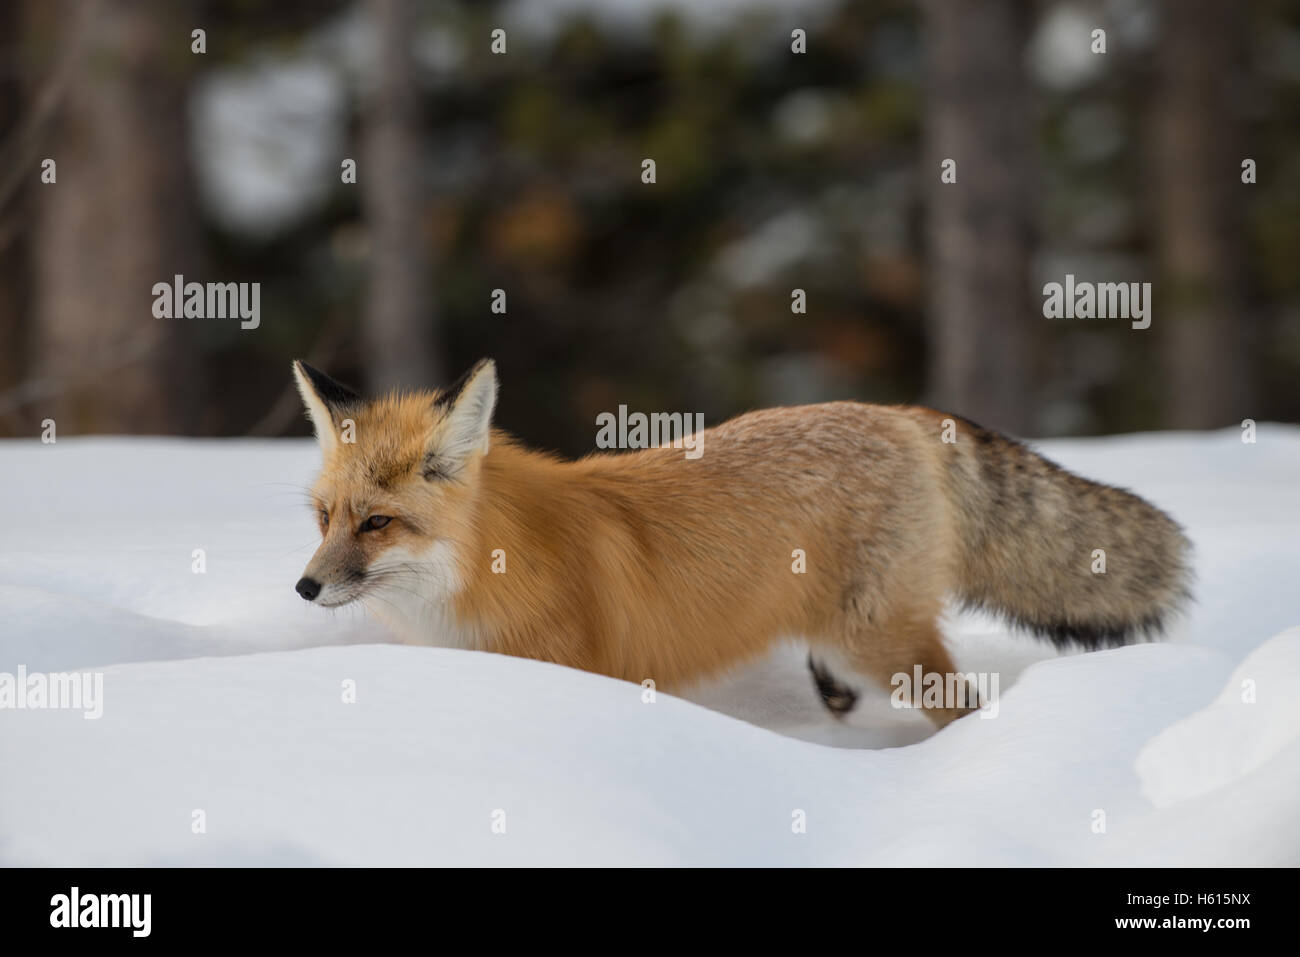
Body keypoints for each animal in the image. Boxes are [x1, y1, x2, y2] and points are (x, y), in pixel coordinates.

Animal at [292, 358, 1192, 726]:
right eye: (324, 516)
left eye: (378, 522)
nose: (304, 588)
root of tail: (896, 412)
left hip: (880, 636)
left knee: (961, 707)